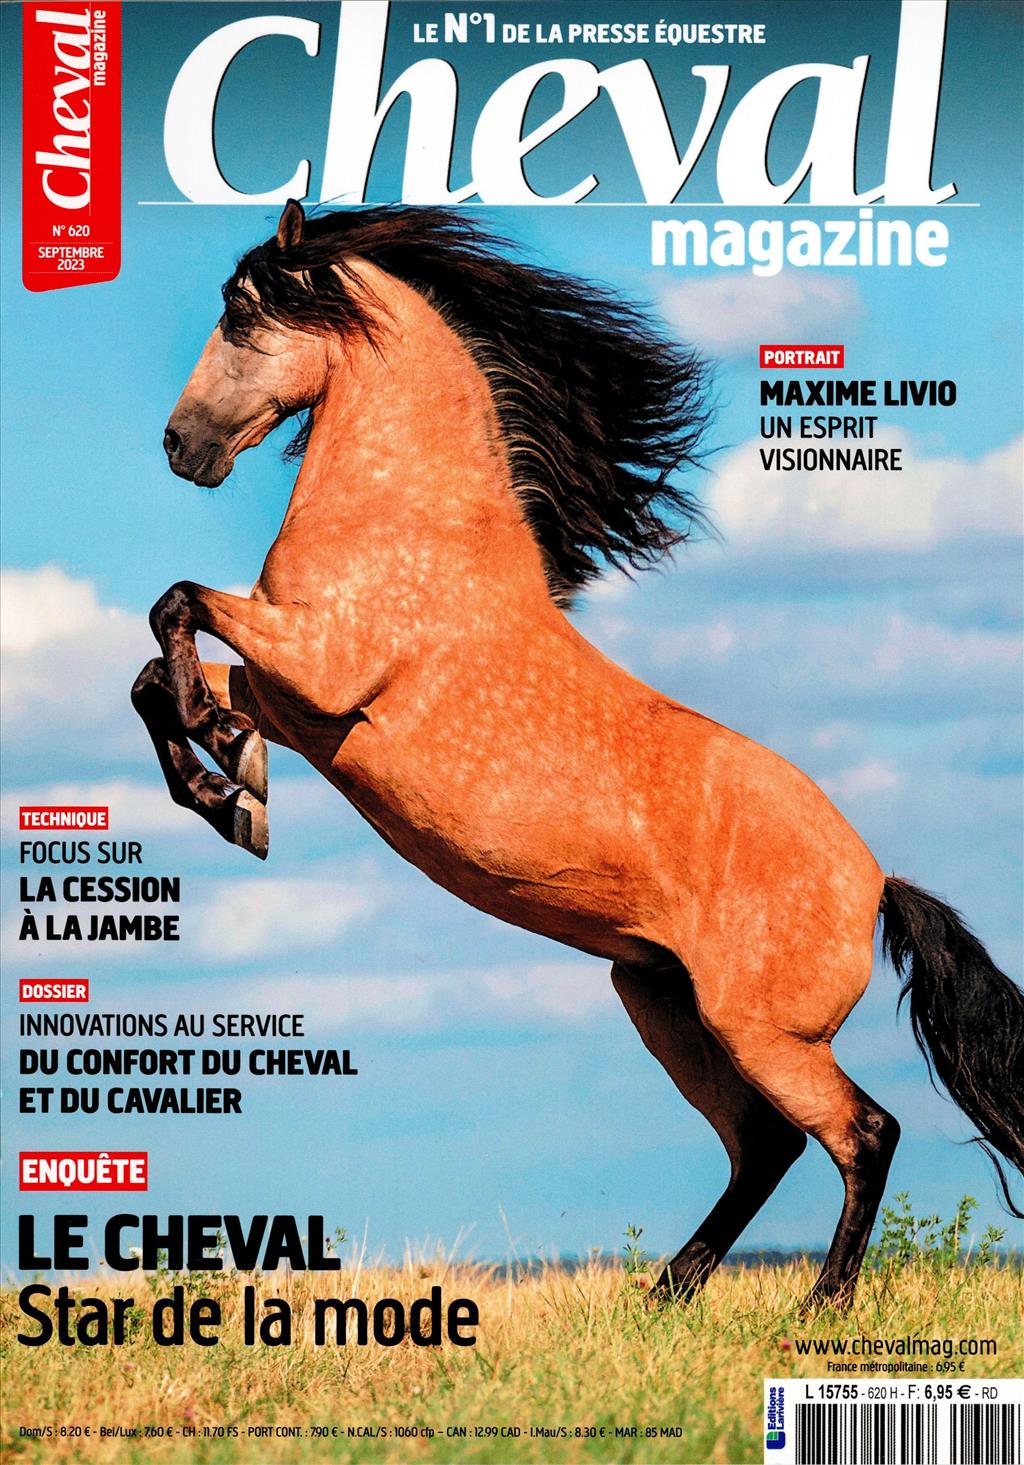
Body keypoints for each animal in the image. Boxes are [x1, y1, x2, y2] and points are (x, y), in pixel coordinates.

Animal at [133, 201, 1024, 1310]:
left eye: (245, 315)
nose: (180, 445)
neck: (410, 521)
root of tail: (875, 881)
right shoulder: (294, 698)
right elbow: (156, 675)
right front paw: (229, 787)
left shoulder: (323, 664)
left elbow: (175, 603)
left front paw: (225, 768)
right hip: (661, 1001)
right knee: (763, 1145)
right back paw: (664, 1297)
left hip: (764, 1030)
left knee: (863, 1132)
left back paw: (818, 1303)